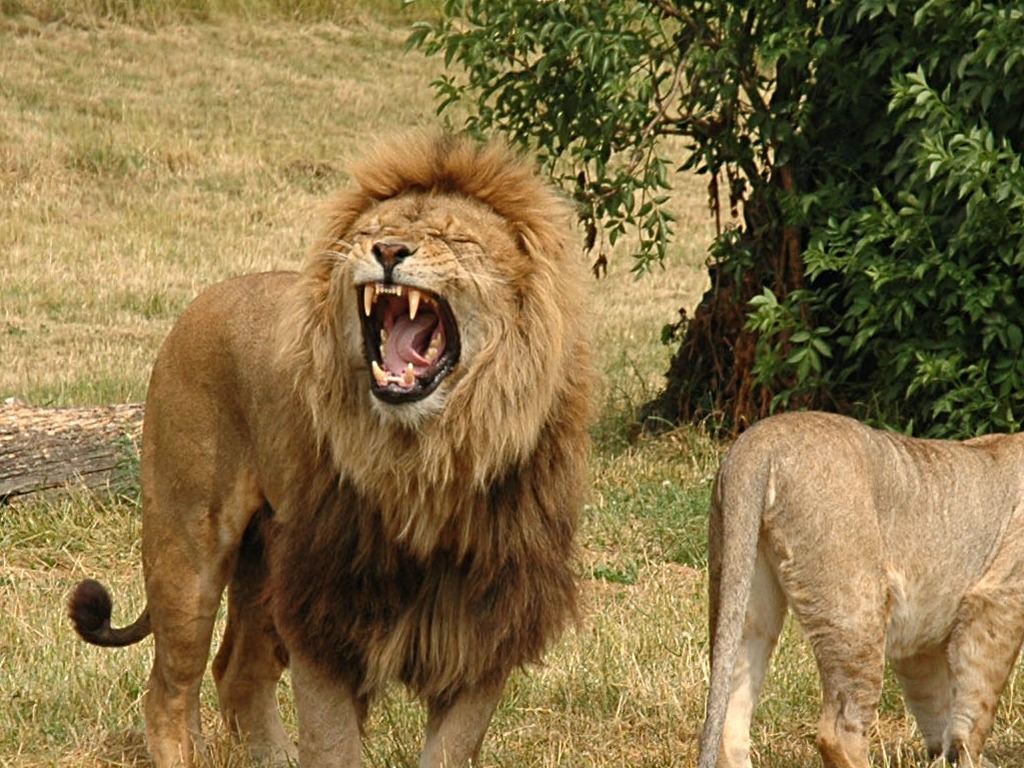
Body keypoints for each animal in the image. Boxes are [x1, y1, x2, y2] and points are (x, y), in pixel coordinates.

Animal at [68, 132, 594, 768]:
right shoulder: (326, 605)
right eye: (372, 232)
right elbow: (332, 742)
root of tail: (208, 296)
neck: (426, 459)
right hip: (187, 542)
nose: (388, 250)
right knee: (170, 687)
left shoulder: (485, 622)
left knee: (237, 672)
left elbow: (451, 748)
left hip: (264, 557)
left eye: (455, 238)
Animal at [697, 410, 1024, 768]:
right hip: (856, 608)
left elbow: (936, 704)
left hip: (742, 593)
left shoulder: (920, 633)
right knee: (837, 732)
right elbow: (977, 700)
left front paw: (944, 758)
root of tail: (759, 442)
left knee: (729, 717)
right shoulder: (999, 600)